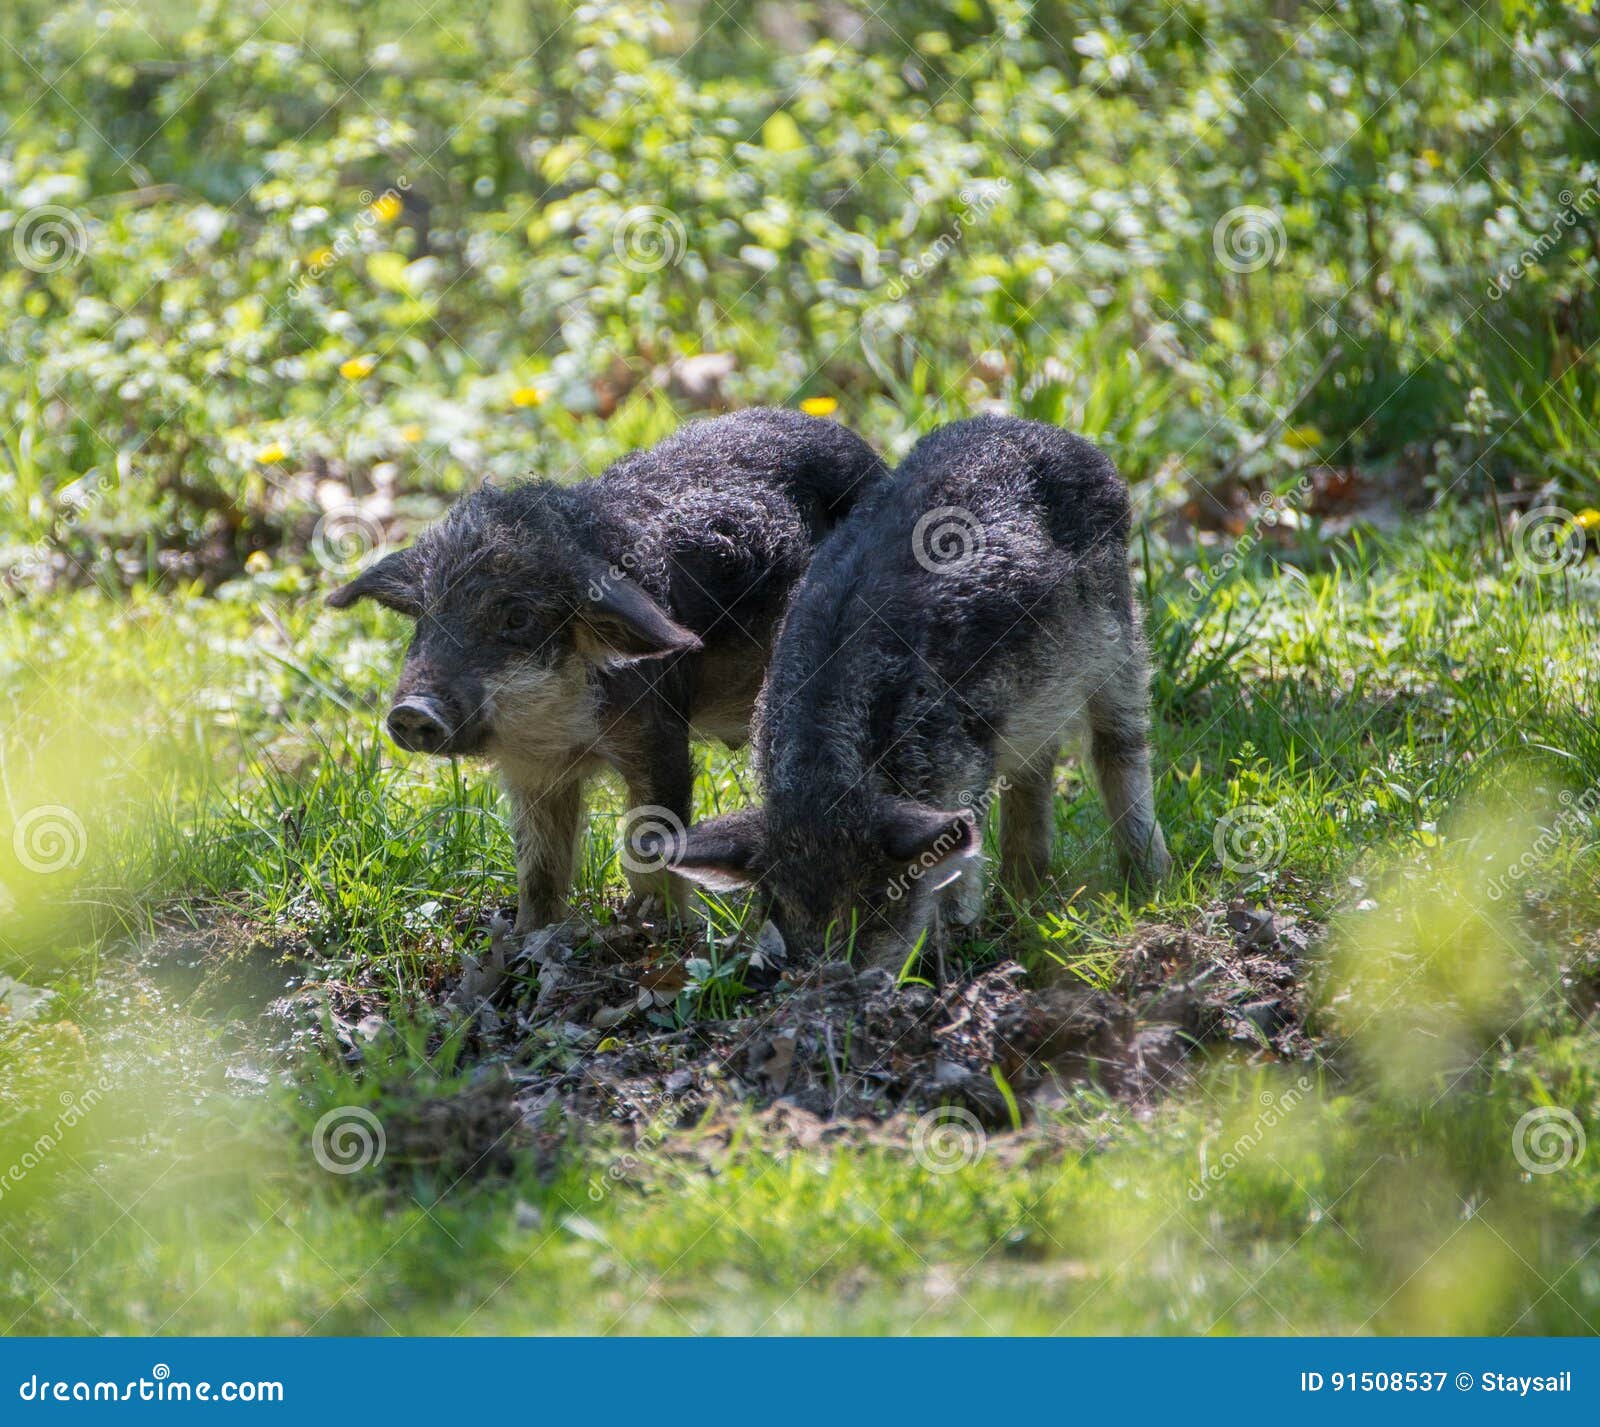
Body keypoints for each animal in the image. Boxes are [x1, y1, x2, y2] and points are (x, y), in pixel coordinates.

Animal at [327, 408, 888, 932]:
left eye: (517, 616)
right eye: (426, 614)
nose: (411, 710)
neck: (564, 730)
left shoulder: (659, 736)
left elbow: (651, 842)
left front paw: (656, 927)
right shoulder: (534, 771)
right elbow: (540, 866)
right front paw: (531, 937)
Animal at [665, 414, 1171, 966]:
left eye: (875, 901)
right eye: (774, 903)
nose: (830, 974)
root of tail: (1049, 432)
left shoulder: (963, 764)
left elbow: (959, 857)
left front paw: (954, 937)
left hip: (1119, 635)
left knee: (1119, 746)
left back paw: (1147, 883)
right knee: (1036, 772)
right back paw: (1023, 895)